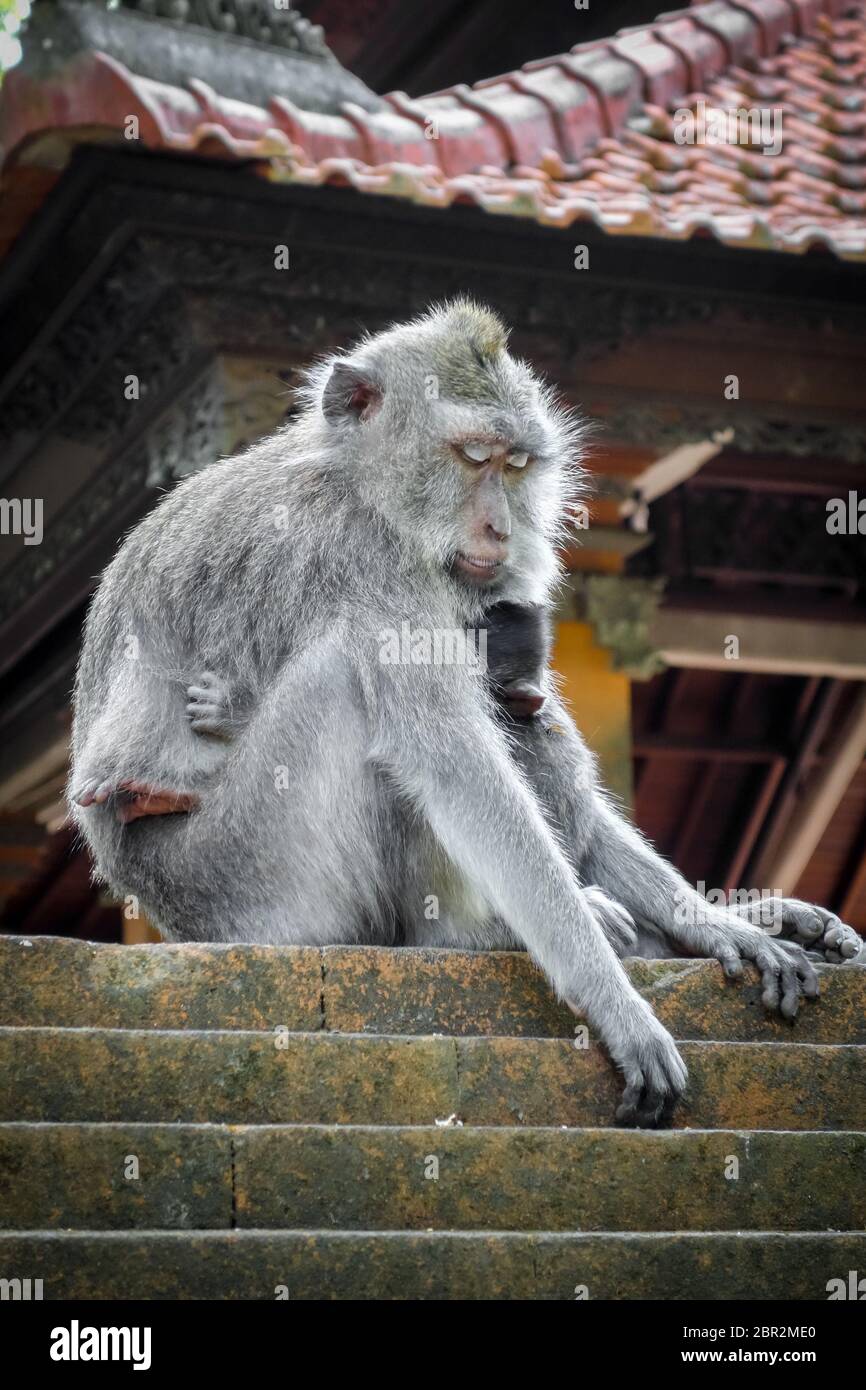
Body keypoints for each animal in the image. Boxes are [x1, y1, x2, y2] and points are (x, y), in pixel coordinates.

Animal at [68, 299, 861, 1129]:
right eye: (473, 455)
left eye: (515, 467)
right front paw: (616, 1004)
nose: (499, 528)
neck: (359, 483)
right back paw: (467, 933)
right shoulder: (369, 562)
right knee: (355, 689)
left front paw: (717, 922)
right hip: (249, 881)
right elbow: (456, 767)